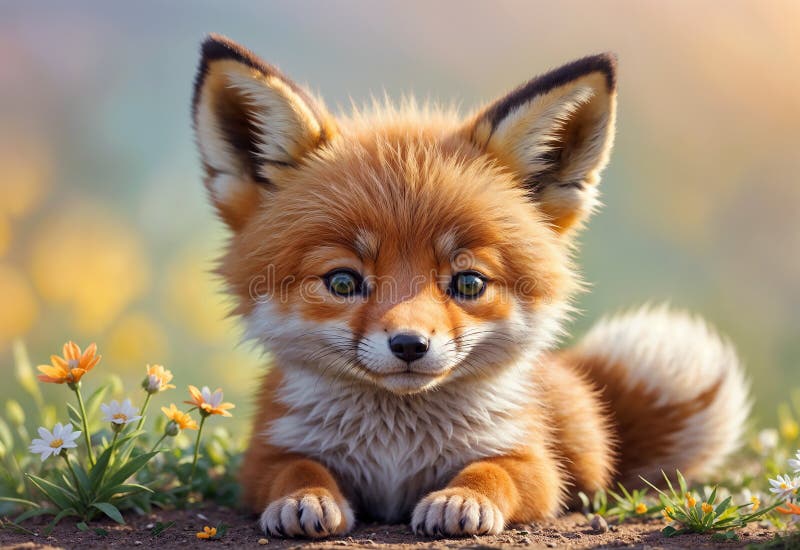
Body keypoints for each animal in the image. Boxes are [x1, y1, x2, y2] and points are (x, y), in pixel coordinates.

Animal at [191, 34, 750, 538]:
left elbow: (493, 471)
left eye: (469, 282)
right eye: (343, 281)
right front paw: (305, 498)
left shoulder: (532, 461)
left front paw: (462, 500)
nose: (409, 345)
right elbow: (295, 469)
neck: (395, 449)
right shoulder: (267, 453)